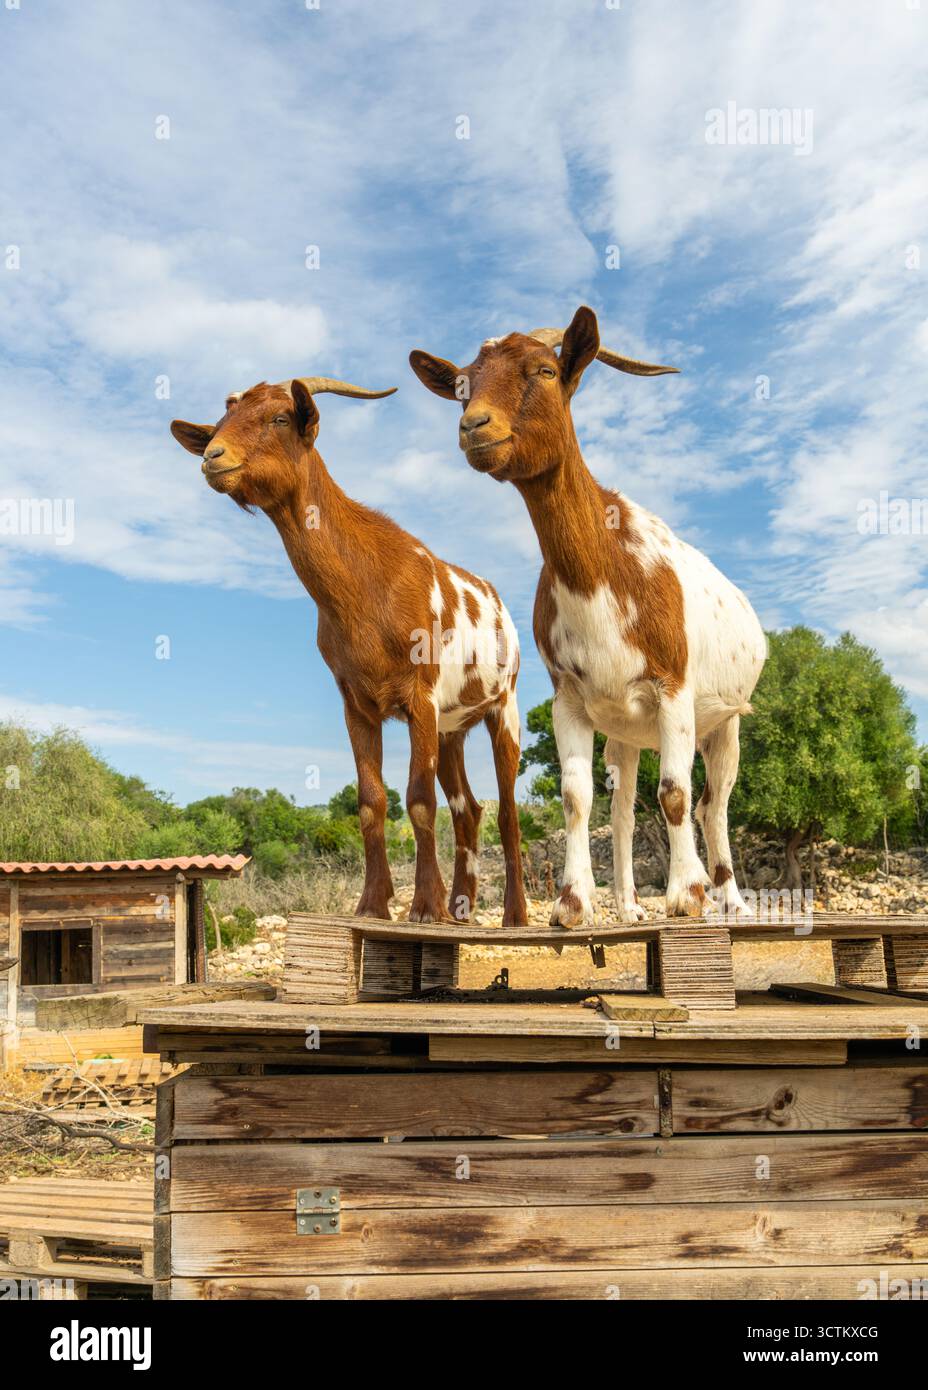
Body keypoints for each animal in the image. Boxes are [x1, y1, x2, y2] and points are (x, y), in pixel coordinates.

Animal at [171, 376, 528, 927]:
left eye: (280, 418)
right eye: (216, 426)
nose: (213, 456)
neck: (367, 583)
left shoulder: (420, 697)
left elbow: (418, 800)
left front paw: (424, 907)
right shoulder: (357, 704)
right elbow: (371, 800)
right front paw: (374, 905)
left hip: (502, 704)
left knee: (507, 808)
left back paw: (514, 914)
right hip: (451, 728)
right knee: (469, 808)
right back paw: (462, 907)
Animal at [410, 307, 766, 925]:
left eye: (546, 370)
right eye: (461, 386)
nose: (474, 427)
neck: (605, 570)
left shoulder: (673, 687)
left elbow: (675, 791)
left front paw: (686, 894)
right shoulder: (570, 698)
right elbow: (578, 798)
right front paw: (573, 902)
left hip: (726, 721)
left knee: (713, 802)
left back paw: (730, 899)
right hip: (626, 730)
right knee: (624, 806)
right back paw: (627, 906)